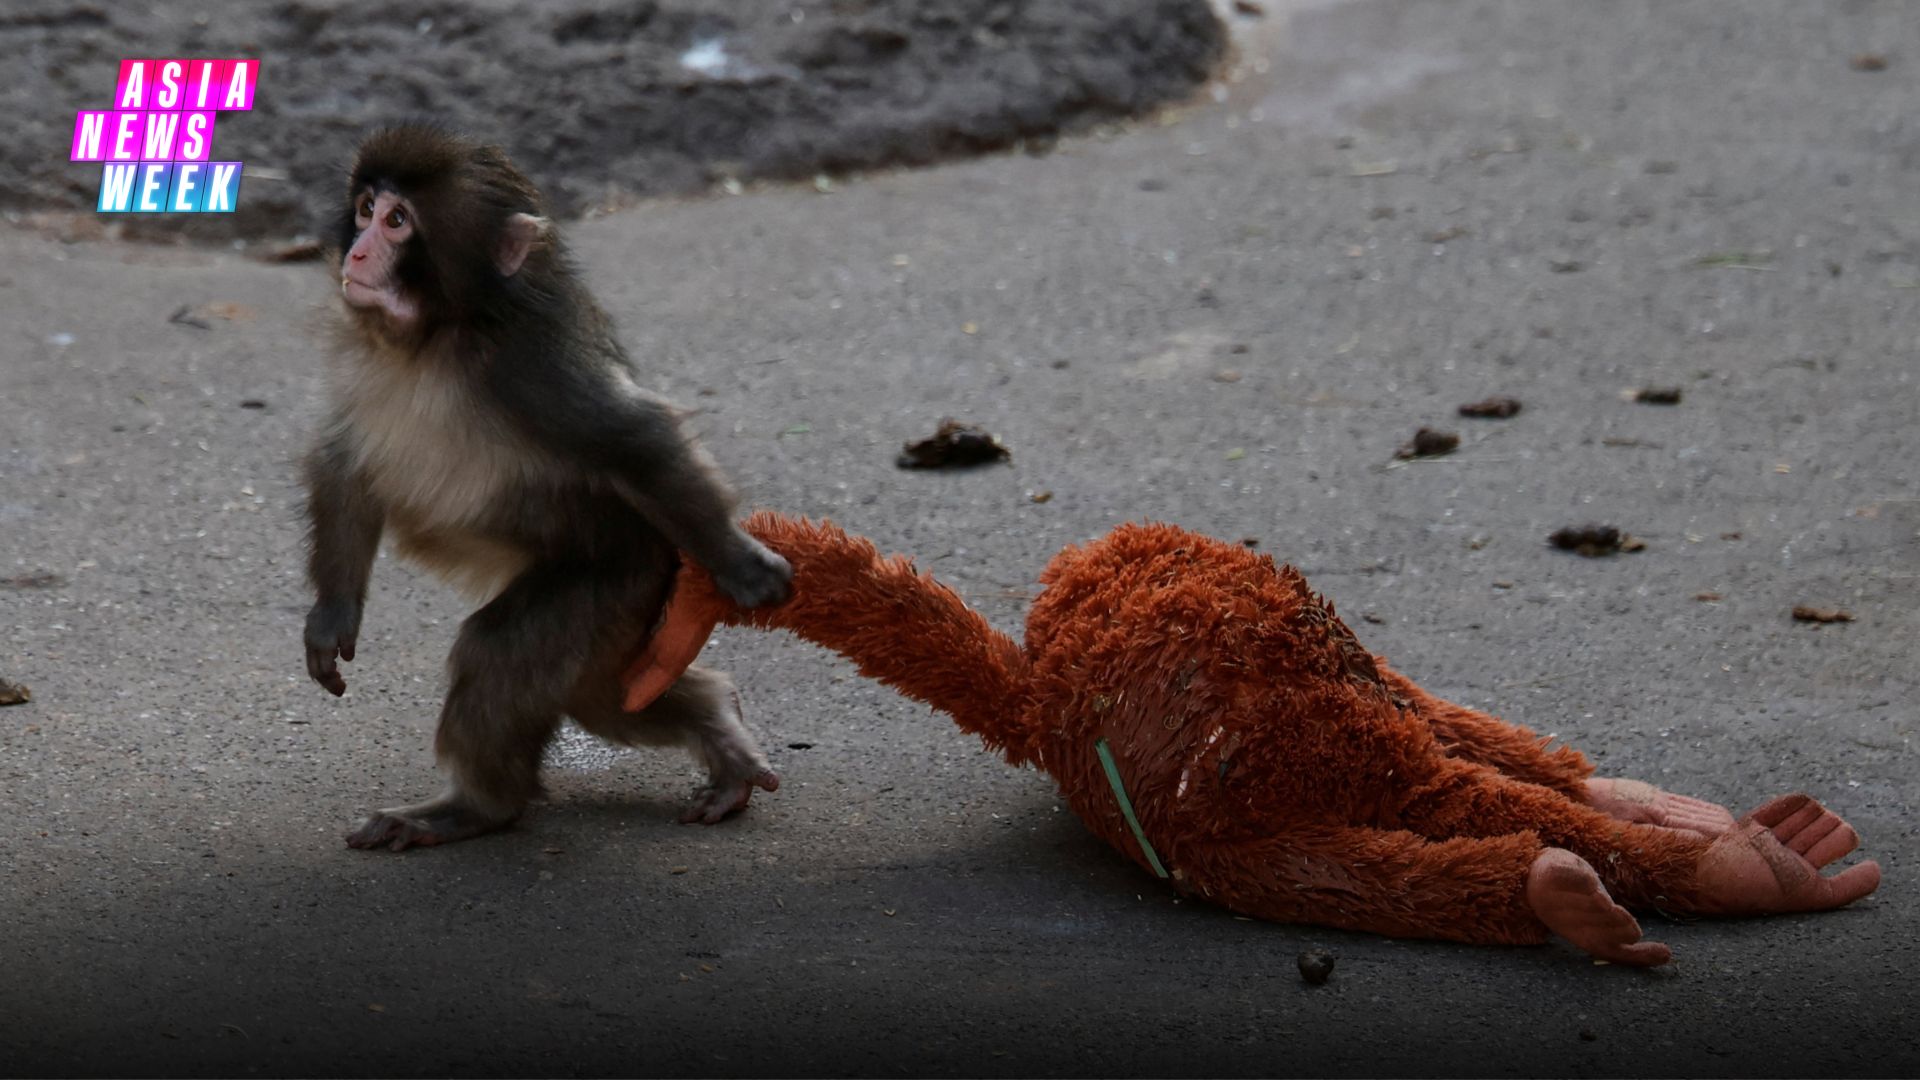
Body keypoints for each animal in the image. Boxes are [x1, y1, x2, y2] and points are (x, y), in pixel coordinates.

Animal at [304, 125, 793, 851]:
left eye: (397, 222)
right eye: (365, 208)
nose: (359, 251)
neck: (439, 335)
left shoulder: (534, 367)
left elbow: (635, 437)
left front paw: (742, 563)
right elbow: (344, 461)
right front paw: (332, 615)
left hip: (617, 578)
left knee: (504, 652)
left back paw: (477, 807)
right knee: (606, 696)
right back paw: (719, 723)